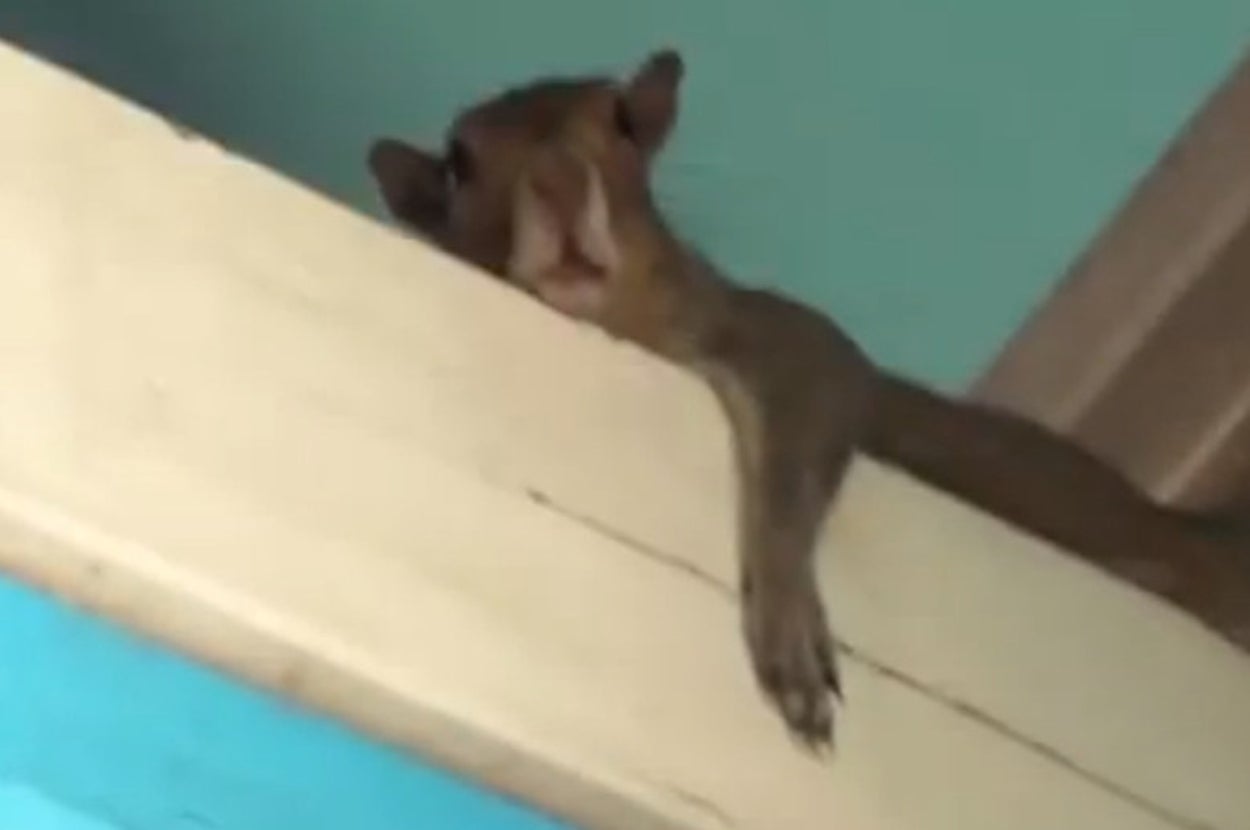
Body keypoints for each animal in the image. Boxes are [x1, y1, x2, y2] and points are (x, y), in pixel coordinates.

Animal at [366, 49, 1250, 751]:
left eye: (621, 122)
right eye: (458, 163)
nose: (555, 180)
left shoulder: (782, 333)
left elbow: (799, 450)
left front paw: (790, 627)